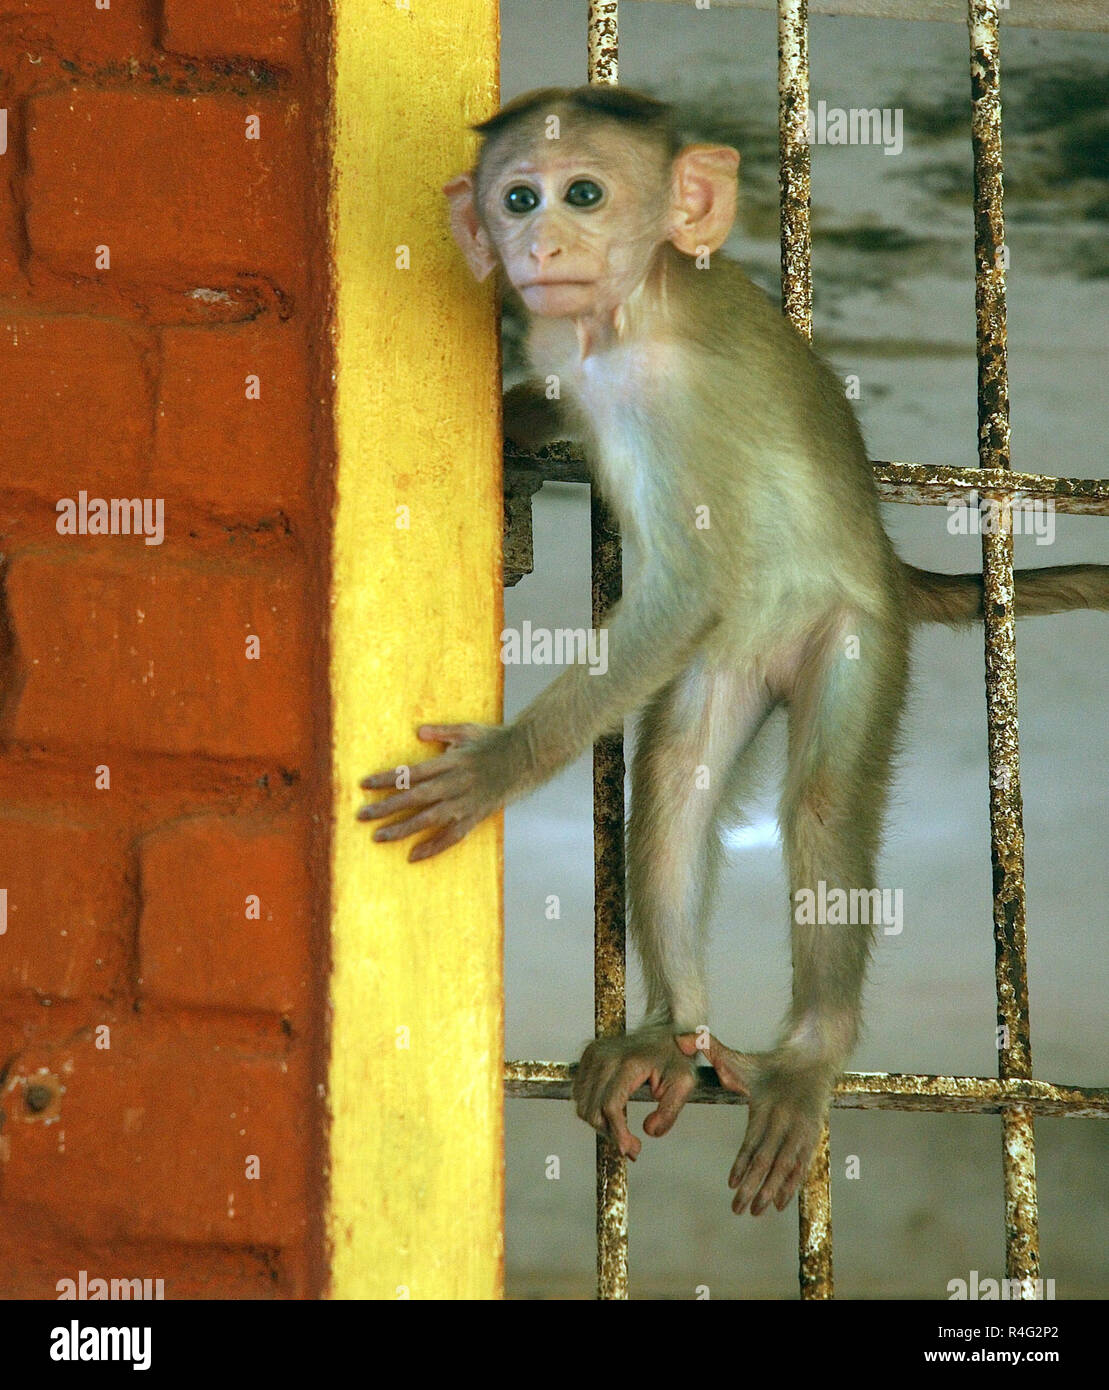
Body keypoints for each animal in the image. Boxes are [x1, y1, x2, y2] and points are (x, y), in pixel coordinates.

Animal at [358, 86, 1109, 1217]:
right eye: (517, 196)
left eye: (584, 193)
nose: (539, 241)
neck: (627, 317)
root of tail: (888, 562)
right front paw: (509, 423)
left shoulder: (683, 402)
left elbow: (687, 591)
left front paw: (497, 767)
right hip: (736, 664)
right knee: (677, 772)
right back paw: (672, 1033)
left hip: (851, 637)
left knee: (822, 806)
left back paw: (810, 1052)